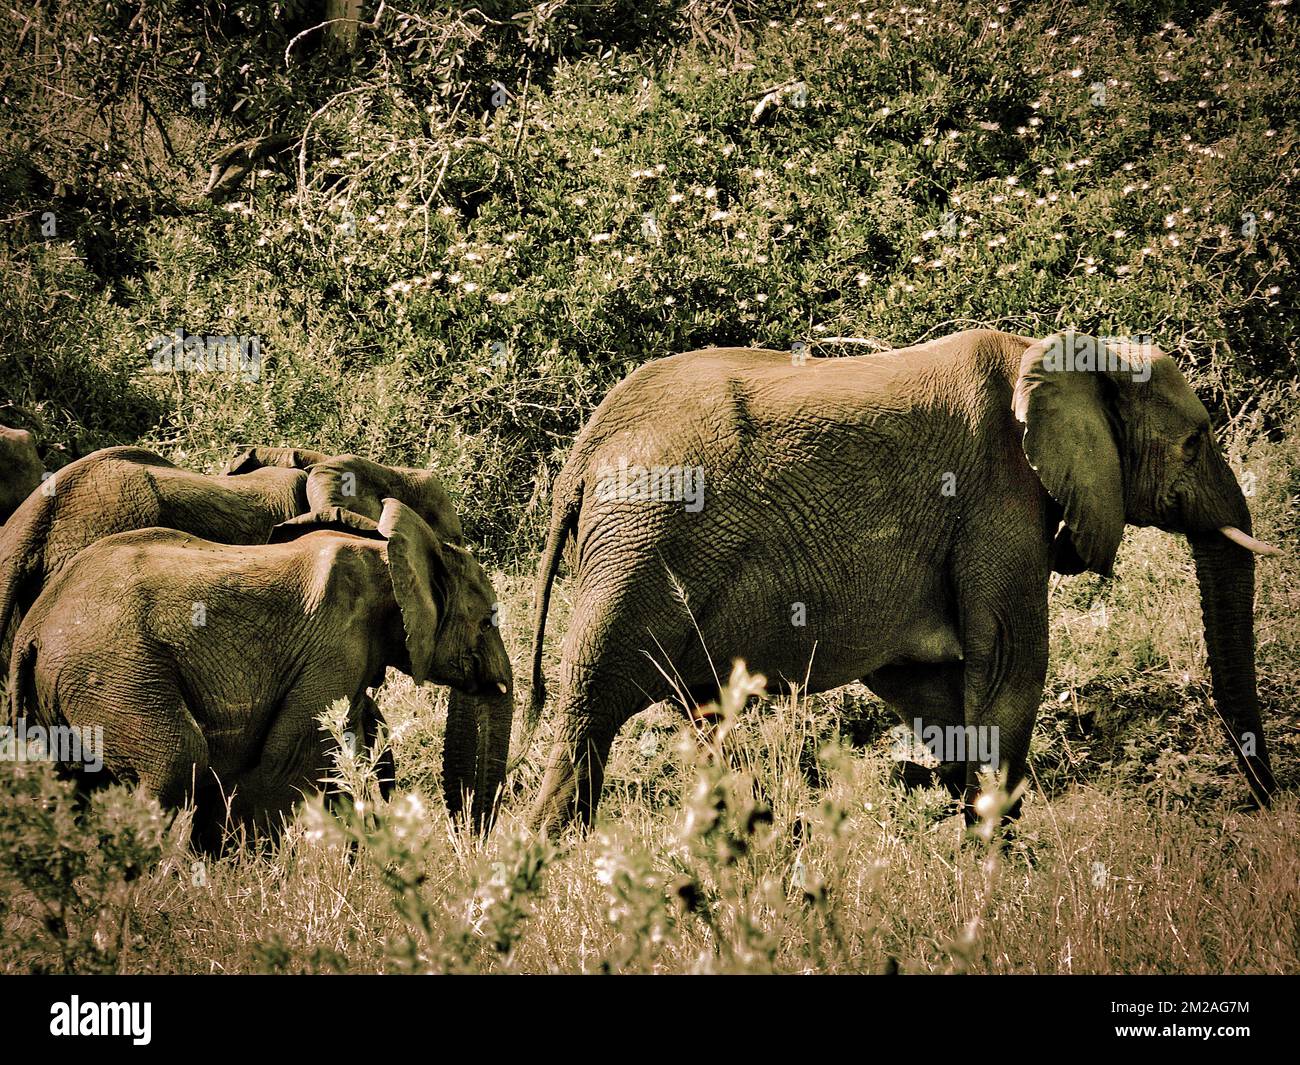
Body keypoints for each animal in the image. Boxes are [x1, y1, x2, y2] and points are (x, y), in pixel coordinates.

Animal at [8, 499, 513, 842]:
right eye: (487, 620)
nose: (467, 844)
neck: (387, 549)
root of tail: (34, 626)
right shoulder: (334, 647)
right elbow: (292, 760)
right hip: (113, 670)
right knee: (177, 760)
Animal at [526, 329, 1281, 831]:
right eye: (1196, 442)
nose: (1268, 803)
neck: (1062, 354)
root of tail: (585, 451)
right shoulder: (998, 498)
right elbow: (1009, 666)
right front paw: (997, 858)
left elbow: (930, 687)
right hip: (639, 543)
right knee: (590, 707)